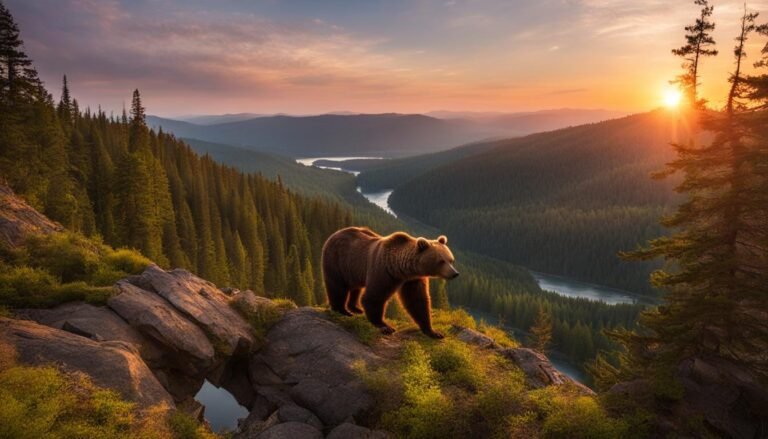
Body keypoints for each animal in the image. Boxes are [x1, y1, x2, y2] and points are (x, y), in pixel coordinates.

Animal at [321, 226, 459, 339]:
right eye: (441, 261)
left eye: (451, 260)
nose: (454, 273)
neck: (401, 269)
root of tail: (335, 233)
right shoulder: (383, 272)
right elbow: (374, 297)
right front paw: (385, 326)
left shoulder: (412, 280)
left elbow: (417, 301)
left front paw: (433, 332)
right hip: (337, 261)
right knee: (337, 286)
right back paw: (342, 310)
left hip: (354, 270)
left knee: (356, 288)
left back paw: (355, 308)